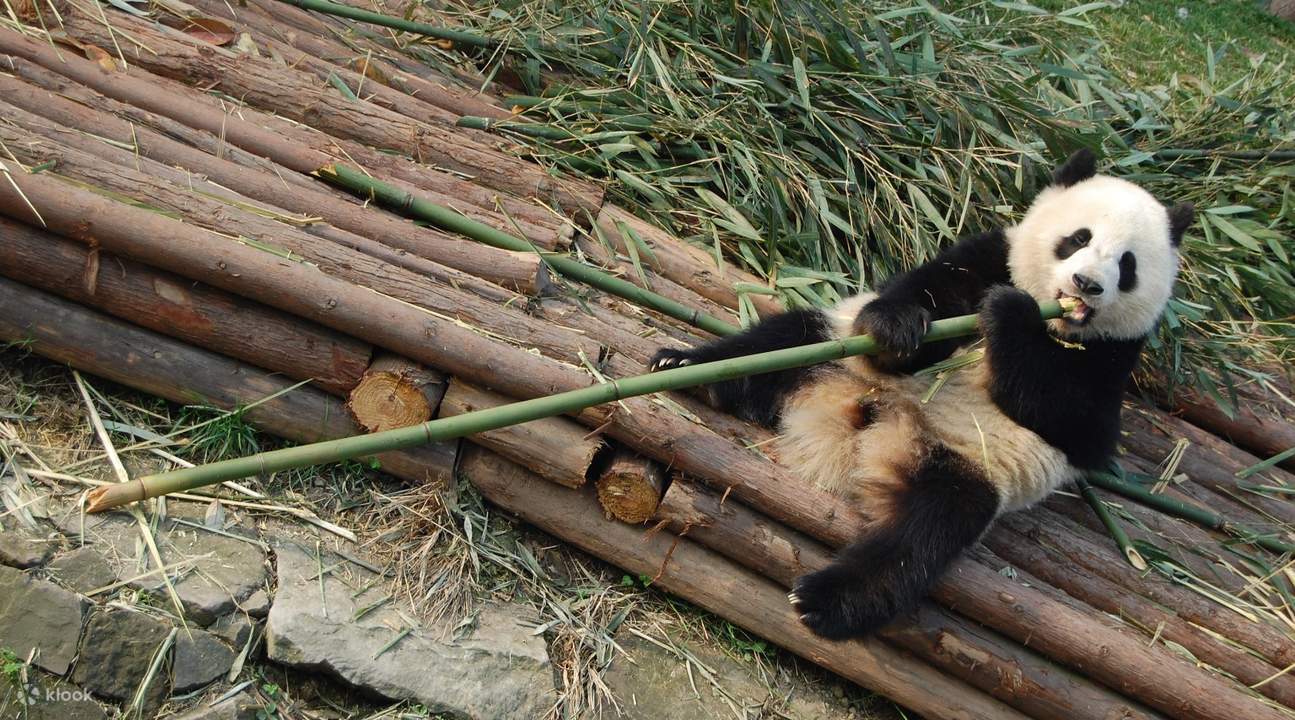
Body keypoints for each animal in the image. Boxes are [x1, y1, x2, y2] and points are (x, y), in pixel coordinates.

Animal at [649, 150, 1194, 640]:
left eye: (1127, 265)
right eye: (1078, 239)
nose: (1085, 284)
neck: (1057, 323)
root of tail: (865, 426)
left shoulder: (1115, 356)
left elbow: (1078, 426)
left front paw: (1010, 312)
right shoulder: (989, 254)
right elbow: (923, 295)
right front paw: (903, 329)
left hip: (964, 465)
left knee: (923, 535)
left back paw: (825, 601)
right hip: (836, 352)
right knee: (781, 341)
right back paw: (687, 368)